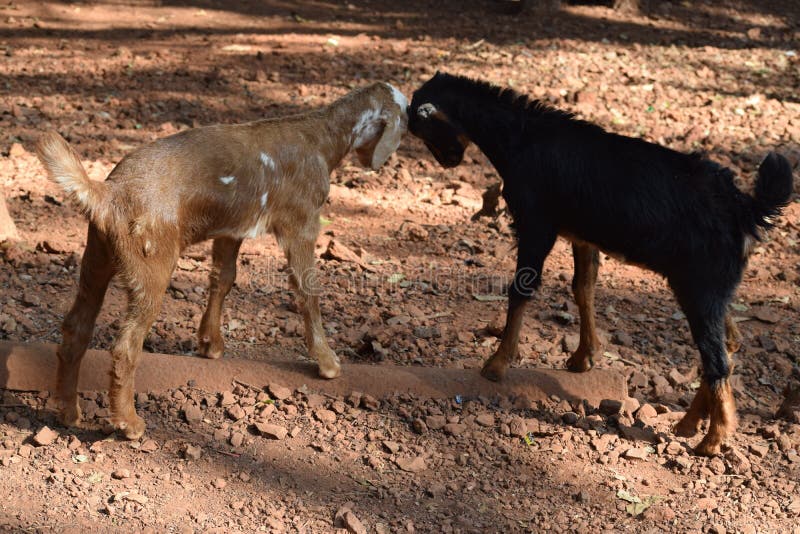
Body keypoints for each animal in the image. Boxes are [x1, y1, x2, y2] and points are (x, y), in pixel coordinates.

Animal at [36, 82, 408, 439]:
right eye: (406, 114)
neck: (322, 138)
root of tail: (105, 195)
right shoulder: (301, 221)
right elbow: (307, 289)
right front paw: (327, 363)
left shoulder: (232, 229)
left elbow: (223, 277)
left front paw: (210, 344)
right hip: (150, 261)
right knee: (126, 346)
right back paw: (129, 424)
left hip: (96, 256)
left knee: (76, 327)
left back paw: (68, 413)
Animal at [407, 72, 794, 456]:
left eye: (421, 129)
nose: (448, 162)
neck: (521, 136)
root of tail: (744, 208)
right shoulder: (581, 235)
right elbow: (583, 288)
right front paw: (584, 357)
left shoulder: (536, 222)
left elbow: (522, 289)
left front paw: (497, 364)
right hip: (712, 287)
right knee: (730, 342)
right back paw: (688, 424)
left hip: (700, 288)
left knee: (717, 360)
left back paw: (712, 440)